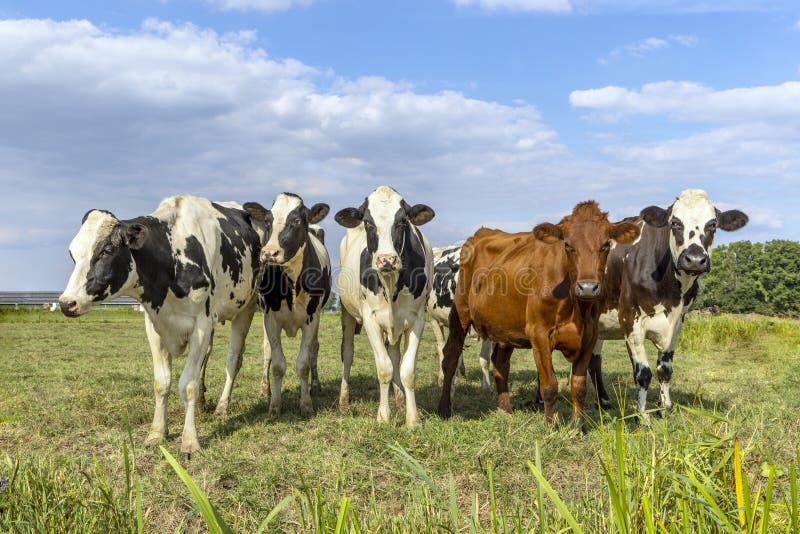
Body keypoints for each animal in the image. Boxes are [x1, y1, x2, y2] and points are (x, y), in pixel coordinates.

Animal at [59, 196, 266, 455]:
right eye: (72, 253)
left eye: (107, 250)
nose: (67, 303)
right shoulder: (154, 325)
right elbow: (162, 383)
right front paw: (157, 433)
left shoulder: (201, 325)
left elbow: (187, 384)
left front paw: (190, 440)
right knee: (206, 358)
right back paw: (202, 403)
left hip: (246, 307)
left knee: (233, 359)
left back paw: (222, 406)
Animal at [242, 193, 331, 418]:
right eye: (267, 221)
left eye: (297, 221)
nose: (269, 253)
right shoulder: (270, 318)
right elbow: (277, 364)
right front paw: (274, 406)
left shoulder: (312, 318)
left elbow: (303, 364)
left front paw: (306, 404)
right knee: (266, 351)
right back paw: (264, 389)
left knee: (315, 349)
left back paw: (315, 386)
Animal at [335, 186, 435, 429]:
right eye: (368, 222)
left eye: (402, 221)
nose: (387, 259)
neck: (391, 283)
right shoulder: (370, 319)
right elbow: (384, 368)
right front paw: (383, 416)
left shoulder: (417, 319)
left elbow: (406, 370)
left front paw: (412, 418)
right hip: (347, 313)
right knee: (348, 353)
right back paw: (344, 401)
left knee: (395, 355)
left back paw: (399, 399)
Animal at [438, 201, 641, 426]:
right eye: (567, 245)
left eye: (605, 245)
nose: (587, 288)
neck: (575, 308)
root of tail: (482, 232)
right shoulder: (539, 333)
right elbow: (549, 385)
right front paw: (551, 425)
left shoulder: (589, 335)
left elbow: (579, 386)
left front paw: (577, 427)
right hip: (460, 313)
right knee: (450, 357)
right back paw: (444, 409)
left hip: (506, 327)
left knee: (500, 364)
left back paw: (505, 410)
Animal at [589, 189, 748, 418]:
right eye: (675, 223)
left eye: (712, 224)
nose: (695, 259)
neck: (671, 292)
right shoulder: (630, 319)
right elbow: (643, 373)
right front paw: (642, 416)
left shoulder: (678, 321)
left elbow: (665, 369)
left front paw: (664, 408)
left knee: (594, 361)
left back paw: (603, 401)